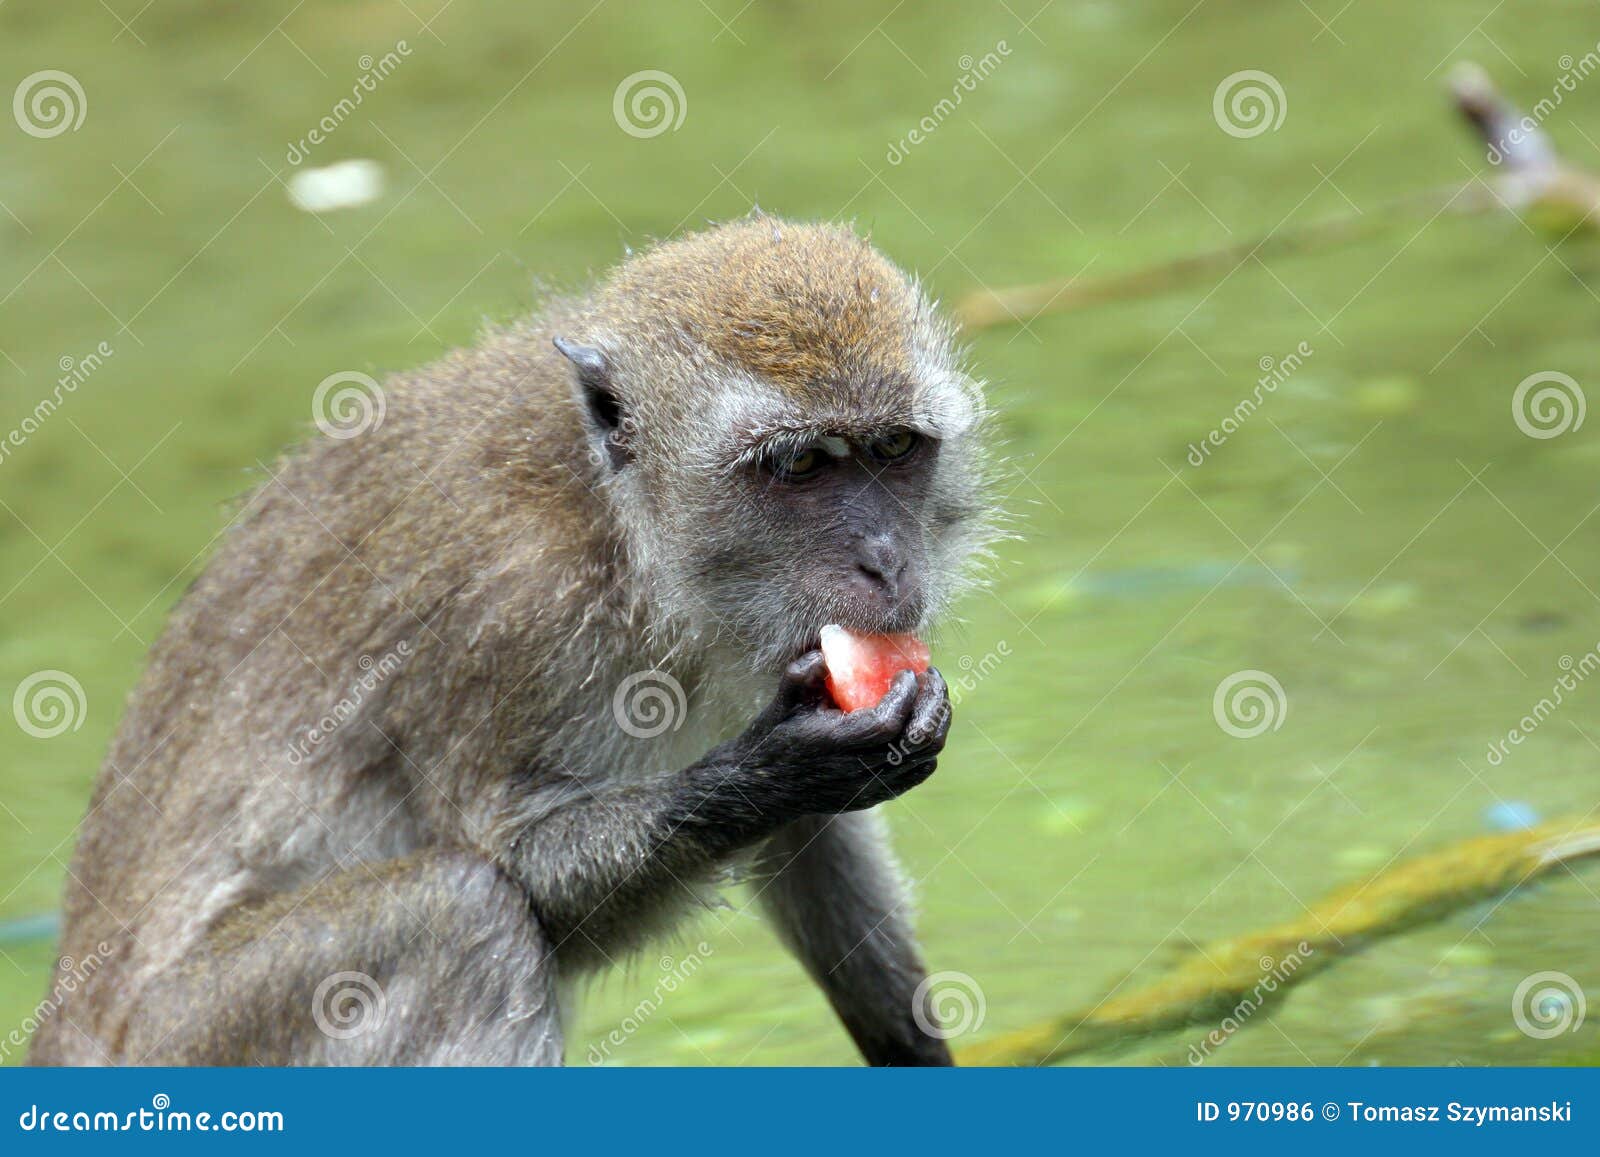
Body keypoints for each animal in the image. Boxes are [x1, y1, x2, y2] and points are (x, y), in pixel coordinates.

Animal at [27, 215, 995, 1067]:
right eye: (799, 464)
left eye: (895, 448)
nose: (885, 559)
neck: (622, 533)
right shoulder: (514, 616)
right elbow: (524, 863)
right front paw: (778, 768)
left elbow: (813, 846)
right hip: (201, 1039)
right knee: (461, 915)